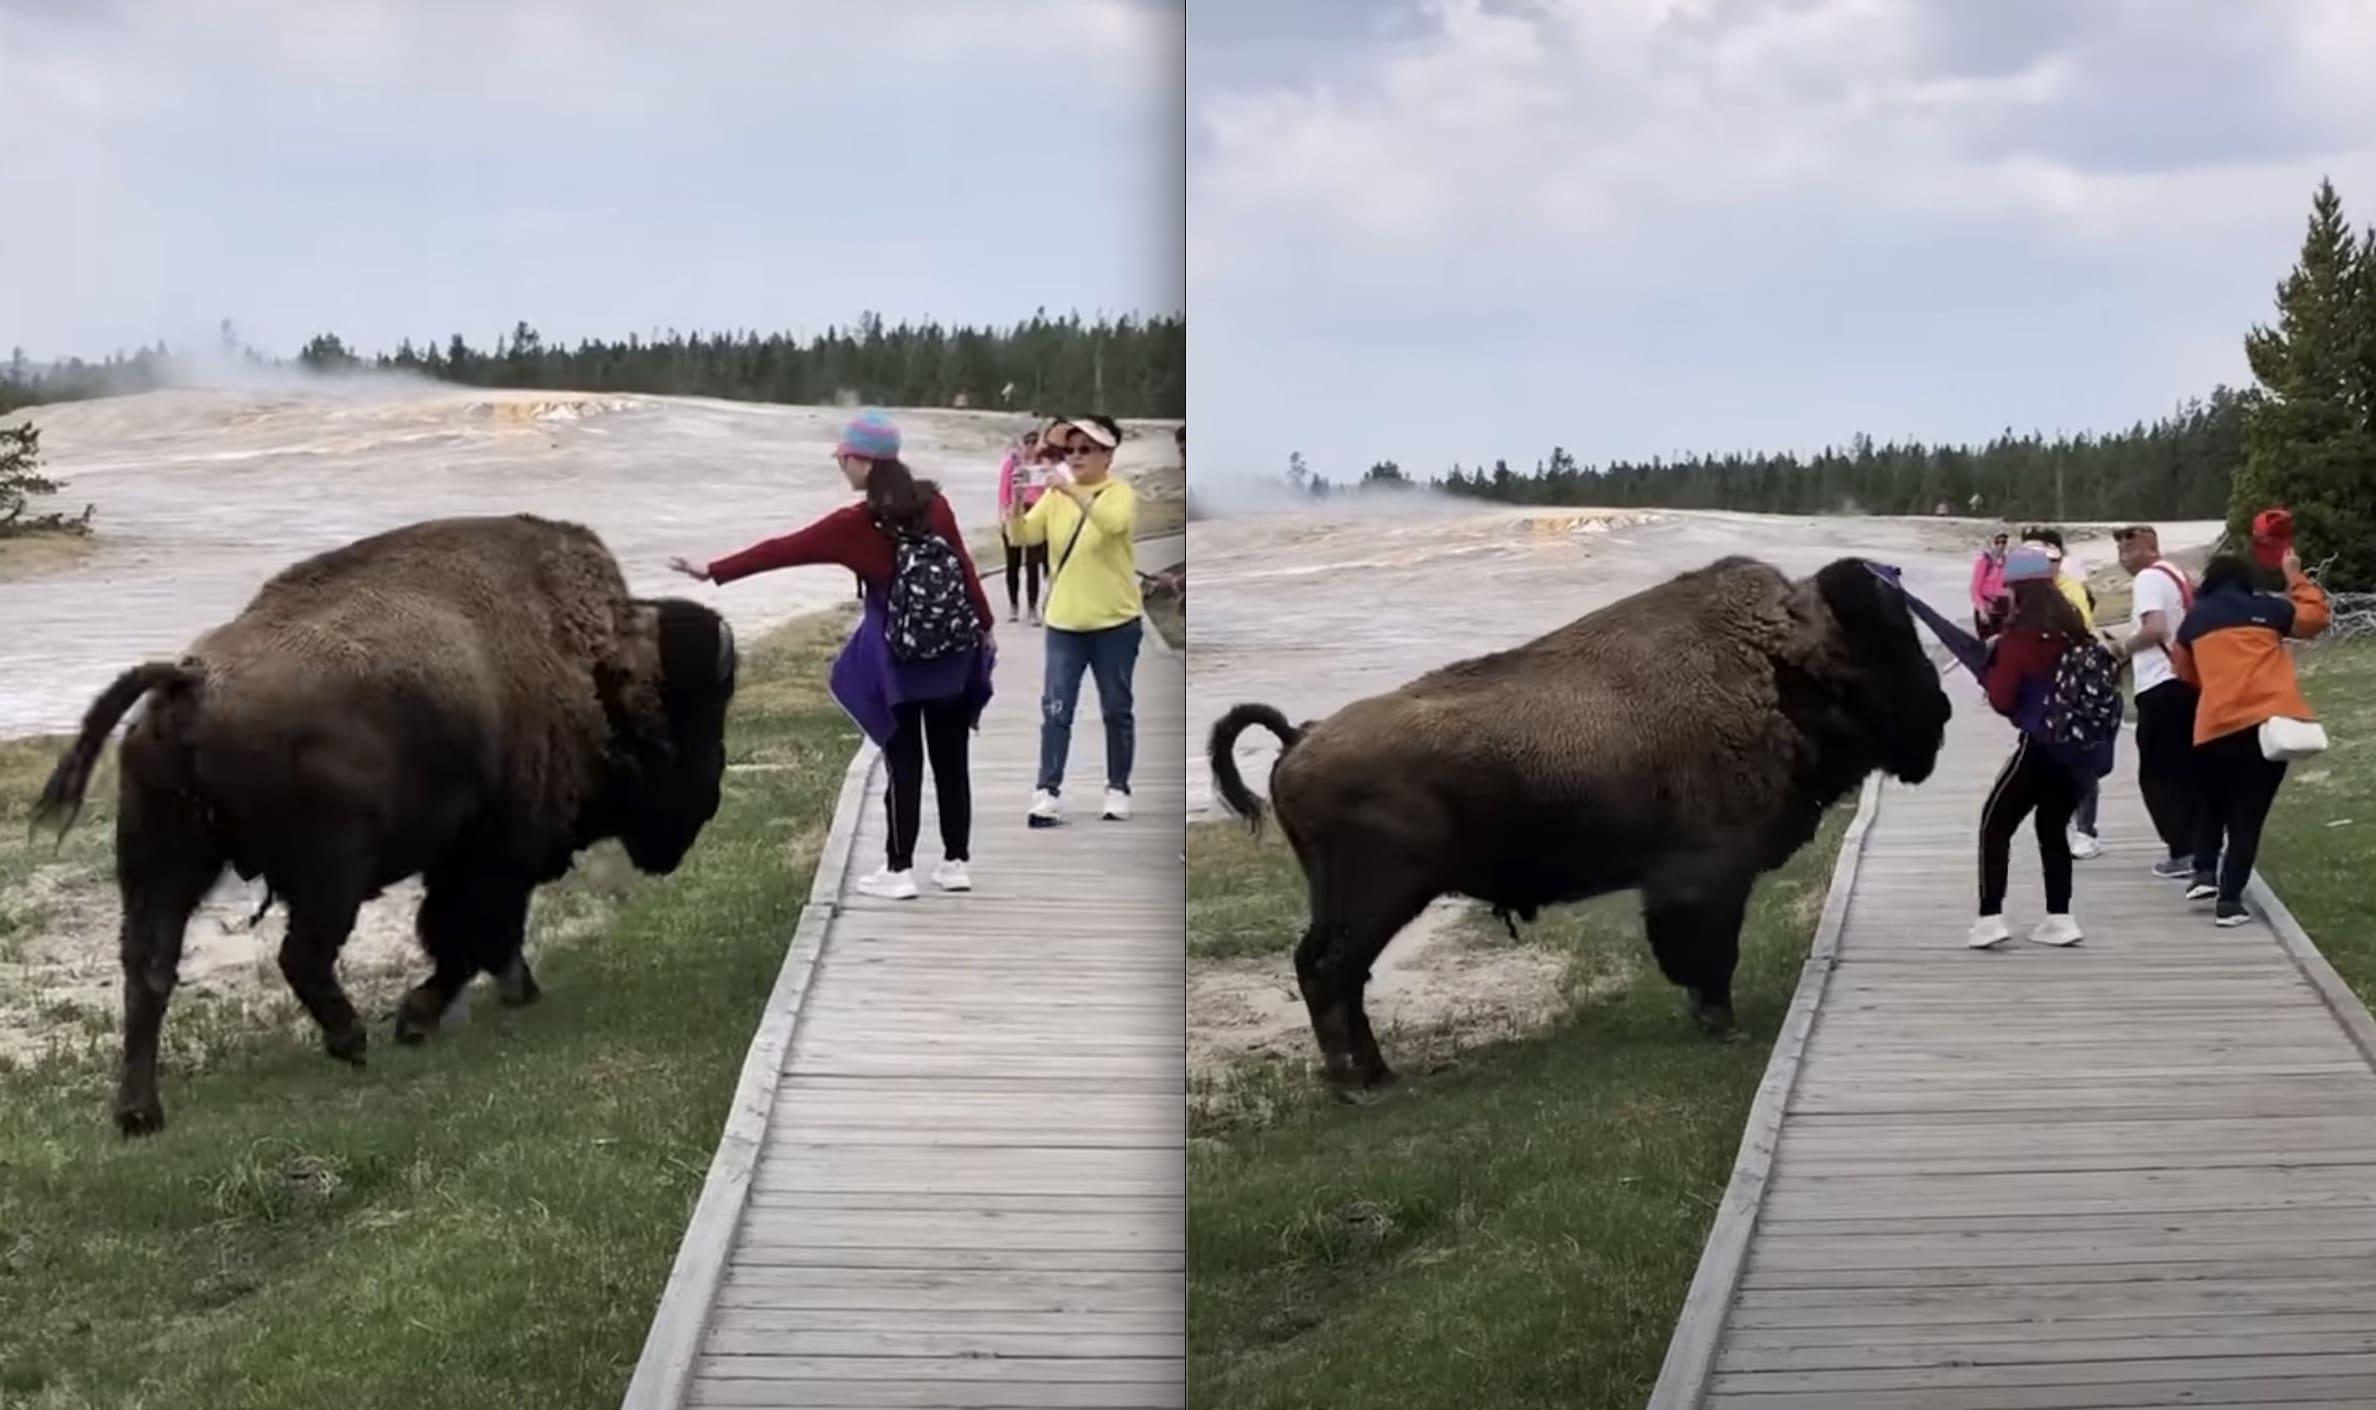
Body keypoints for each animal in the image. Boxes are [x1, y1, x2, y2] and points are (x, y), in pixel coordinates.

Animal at [32, 513, 738, 1135]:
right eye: (685, 729)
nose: (707, 804)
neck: (589, 660)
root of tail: (191, 684)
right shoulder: (494, 853)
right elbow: (466, 936)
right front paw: (418, 1019)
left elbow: (483, 936)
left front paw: (515, 993)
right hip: (332, 871)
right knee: (300, 954)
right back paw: (351, 1041)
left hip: (165, 862)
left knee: (149, 971)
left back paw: (139, 1115)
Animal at [1206, 555, 1949, 1094]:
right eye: (1885, 647)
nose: (1940, 712)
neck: (1776, 665)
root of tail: (1300, 738)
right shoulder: (1707, 877)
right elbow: (1709, 954)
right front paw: (1724, 1025)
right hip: (1378, 895)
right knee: (1329, 970)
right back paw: (1353, 1085)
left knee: (1339, 972)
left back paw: (1379, 1076)